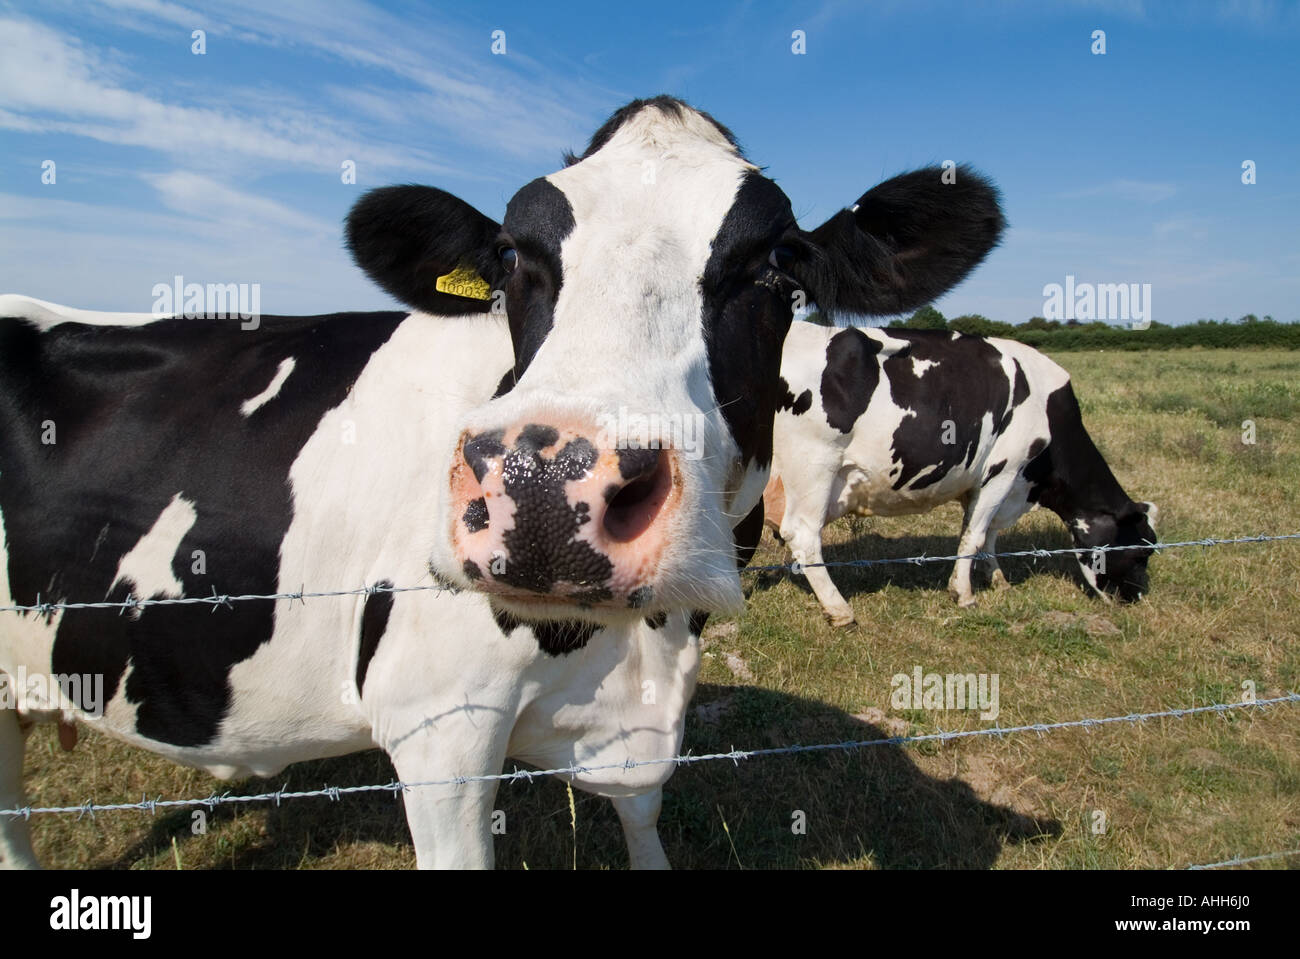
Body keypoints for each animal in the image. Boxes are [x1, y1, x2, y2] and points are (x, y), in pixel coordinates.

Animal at [0, 96, 1005, 869]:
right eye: (517, 257)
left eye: (776, 263)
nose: (550, 489)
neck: (640, 650)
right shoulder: (438, 728)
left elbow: (644, 823)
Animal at [766, 320, 1158, 626]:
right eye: (1142, 552)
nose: (1136, 600)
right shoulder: (1004, 470)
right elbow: (975, 535)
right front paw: (964, 594)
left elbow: (987, 534)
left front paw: (997, 579)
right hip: (815, 465)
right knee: (803, 534)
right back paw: (840, 609)